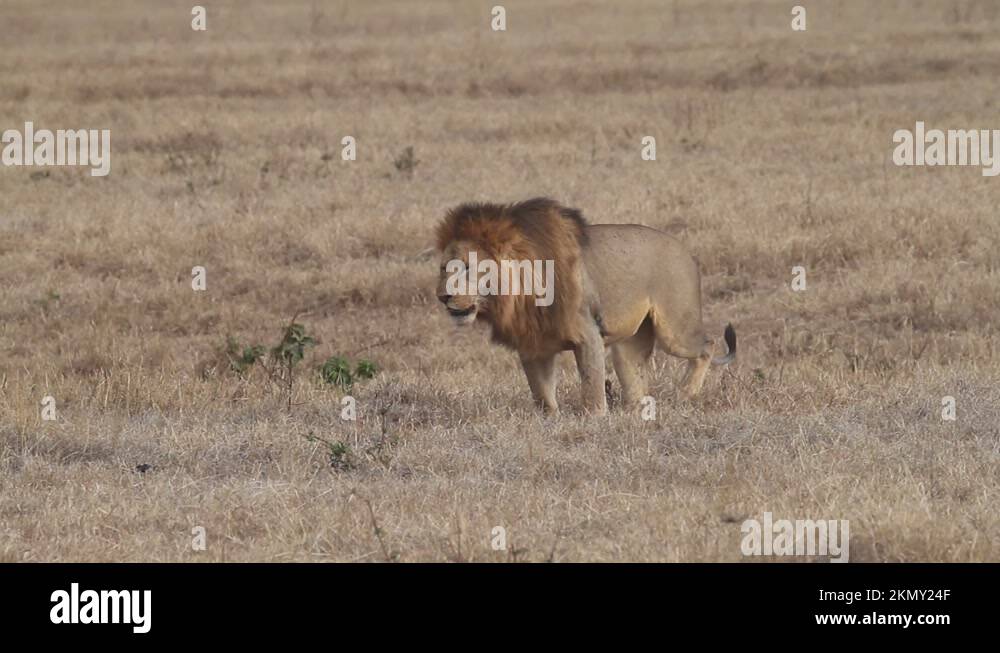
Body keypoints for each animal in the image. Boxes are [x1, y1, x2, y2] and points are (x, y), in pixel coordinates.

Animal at [435, 197, 736, 416]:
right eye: (444, 268)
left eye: (468, 267)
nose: (442, 296)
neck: (518, 295)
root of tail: (686, 251)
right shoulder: (533, 343)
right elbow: (541, 391)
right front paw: (551, 419)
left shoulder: (588, 333)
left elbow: (592, 385)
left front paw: (595, 420)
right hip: (629, 346)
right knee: (636, 381)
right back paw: (636, 411)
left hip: (675, 330)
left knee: (707, 345)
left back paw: (685, 393)